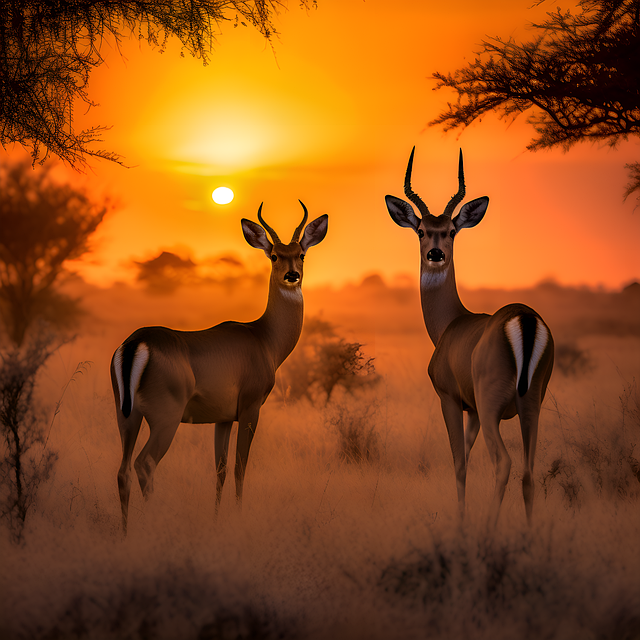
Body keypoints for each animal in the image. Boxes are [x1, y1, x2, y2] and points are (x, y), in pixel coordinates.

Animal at [111, 202, 328, 533]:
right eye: (274, 255)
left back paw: (125, 534)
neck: (263, 337)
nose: (292, 276)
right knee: (144, 464)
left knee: (123, 471)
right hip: (165, 421)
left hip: (128, 418)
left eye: (301, 253)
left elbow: (220, 469)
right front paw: (238, 516)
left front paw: (216, 519)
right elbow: (240, 467)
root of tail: (137, 342)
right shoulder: (250, 410)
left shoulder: (223, 419)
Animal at [385, 148, 554, 527]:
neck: (452, 324)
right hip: (531, 407)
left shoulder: (450, 401)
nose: (435, 255)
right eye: (421, 230)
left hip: (495, 409)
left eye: (451, 231)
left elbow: (459, 464)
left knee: (504, 464)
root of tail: (525, 319)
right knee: (528, 471)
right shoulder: (474, 412)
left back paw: (488, 530)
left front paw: (461, 524)